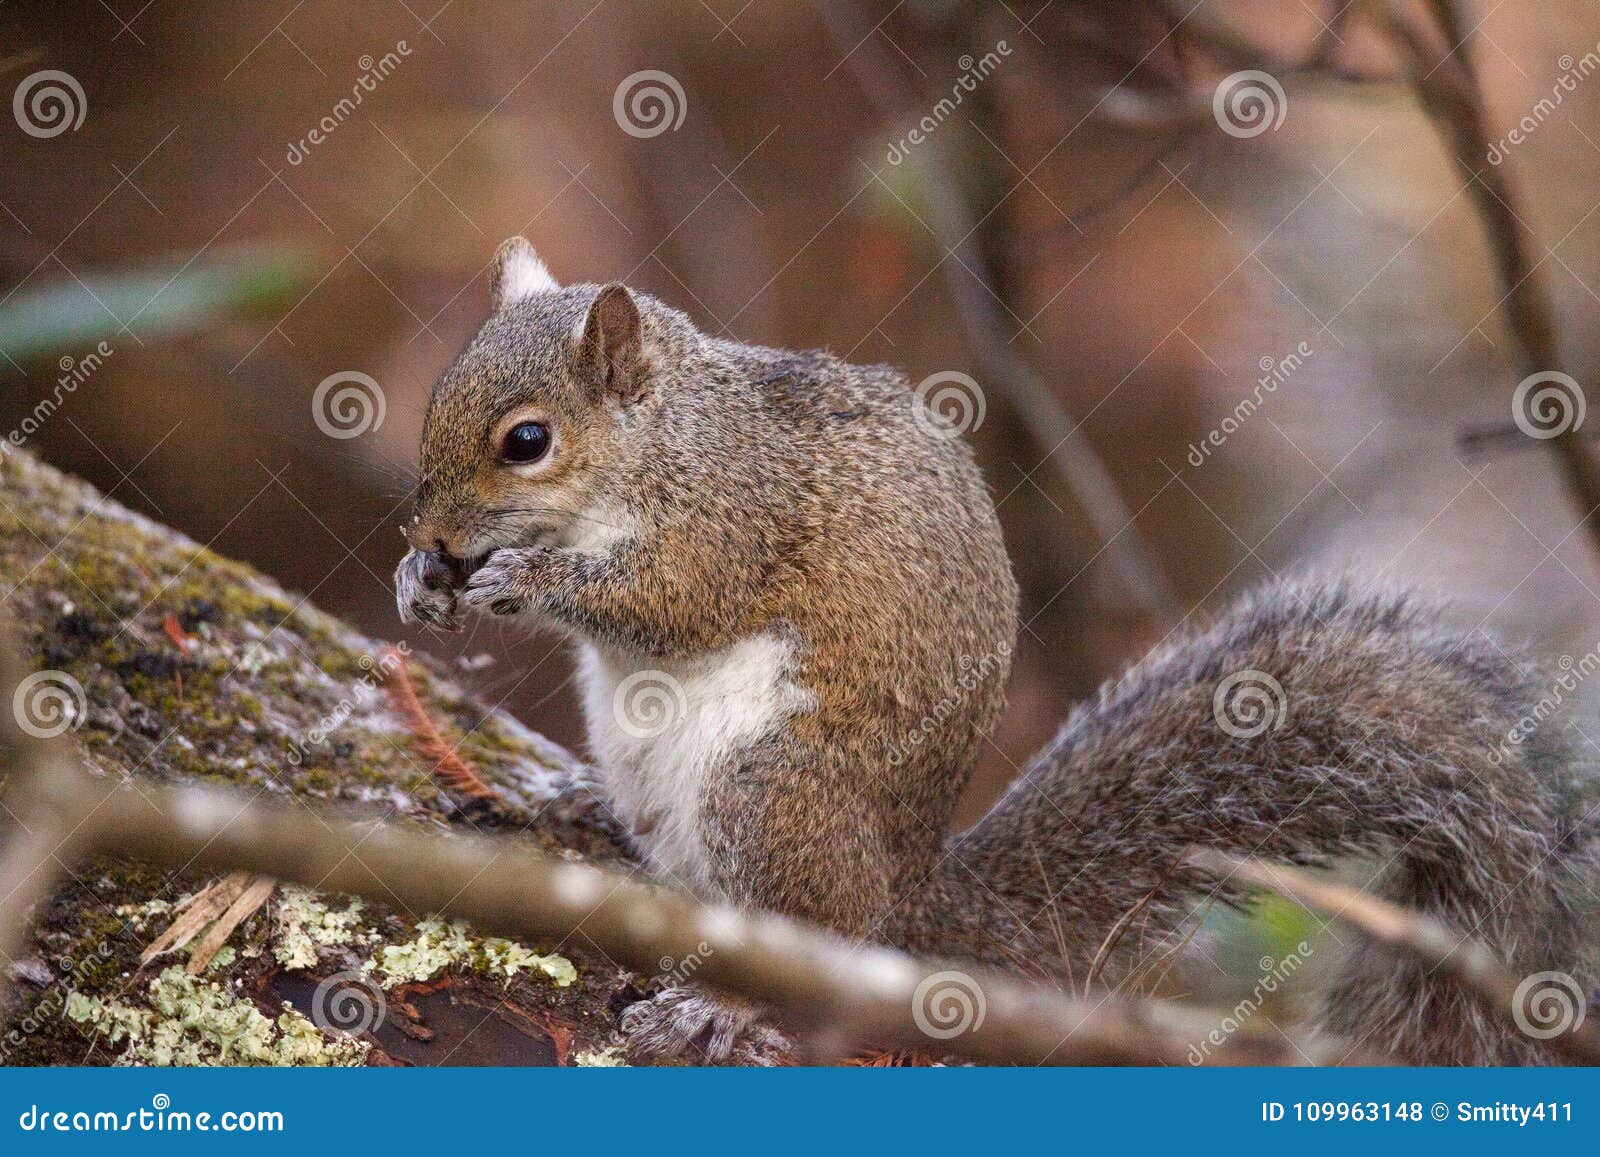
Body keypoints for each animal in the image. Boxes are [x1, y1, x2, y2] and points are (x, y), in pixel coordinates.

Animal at [397, 236, 1595, 1066]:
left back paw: (723, 998)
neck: (663, 437)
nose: (438, 540)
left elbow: (678, 600)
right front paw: (421, 586)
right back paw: (576, 804)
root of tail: (910, 893)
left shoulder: (733, 513)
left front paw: (522, 582)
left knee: (807, 937)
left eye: (527, 441)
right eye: (434, 397)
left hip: (771, 793)